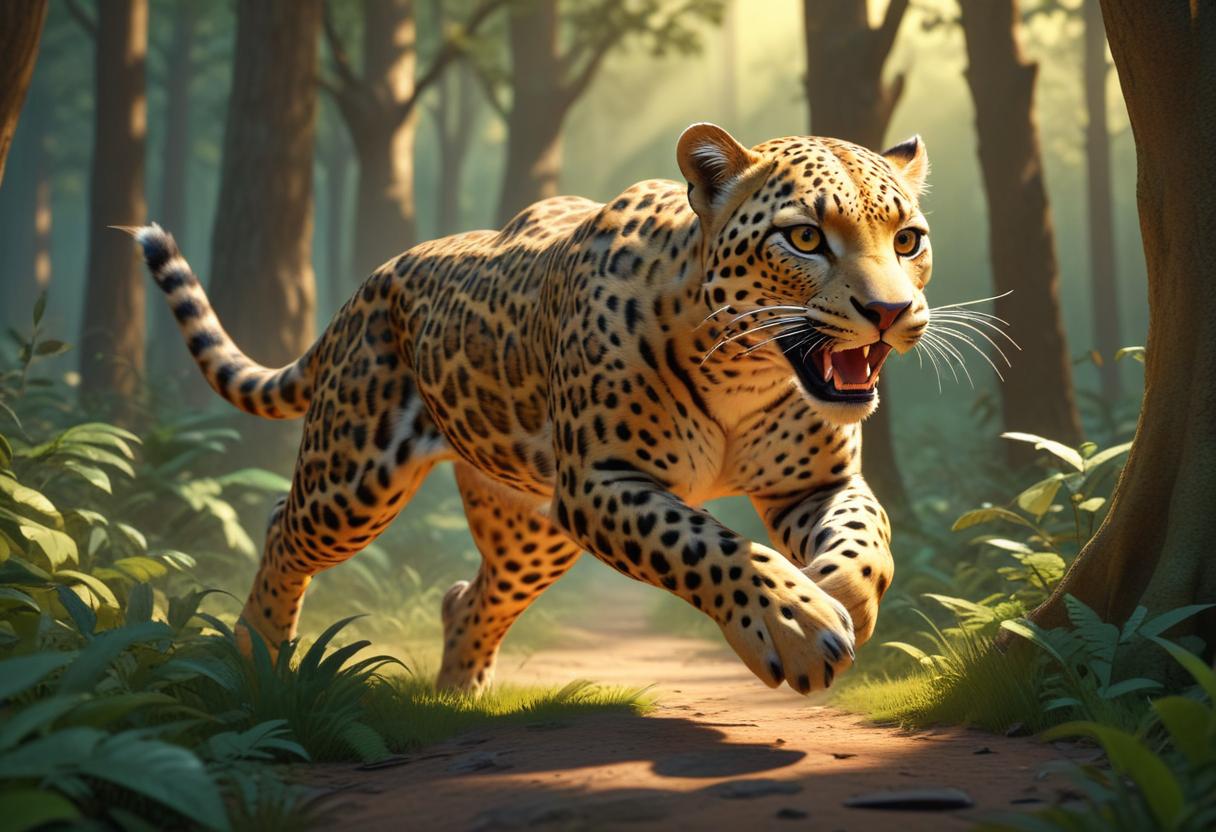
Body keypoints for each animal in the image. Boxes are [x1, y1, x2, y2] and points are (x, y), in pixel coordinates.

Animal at [129, 123, 932, 695]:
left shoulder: (814, 484)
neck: (747, 374)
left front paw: (840, 595)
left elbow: (871, 537)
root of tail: (371, 280)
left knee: (472, 595)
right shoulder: (601, 481)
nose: (891, 312)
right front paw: (794, 622)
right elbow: (709, 546)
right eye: (804, 237)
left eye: (908, 239)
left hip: (530, 529)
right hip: (355, 477)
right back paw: (257, 651)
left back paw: (457, 693)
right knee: (282, 525)